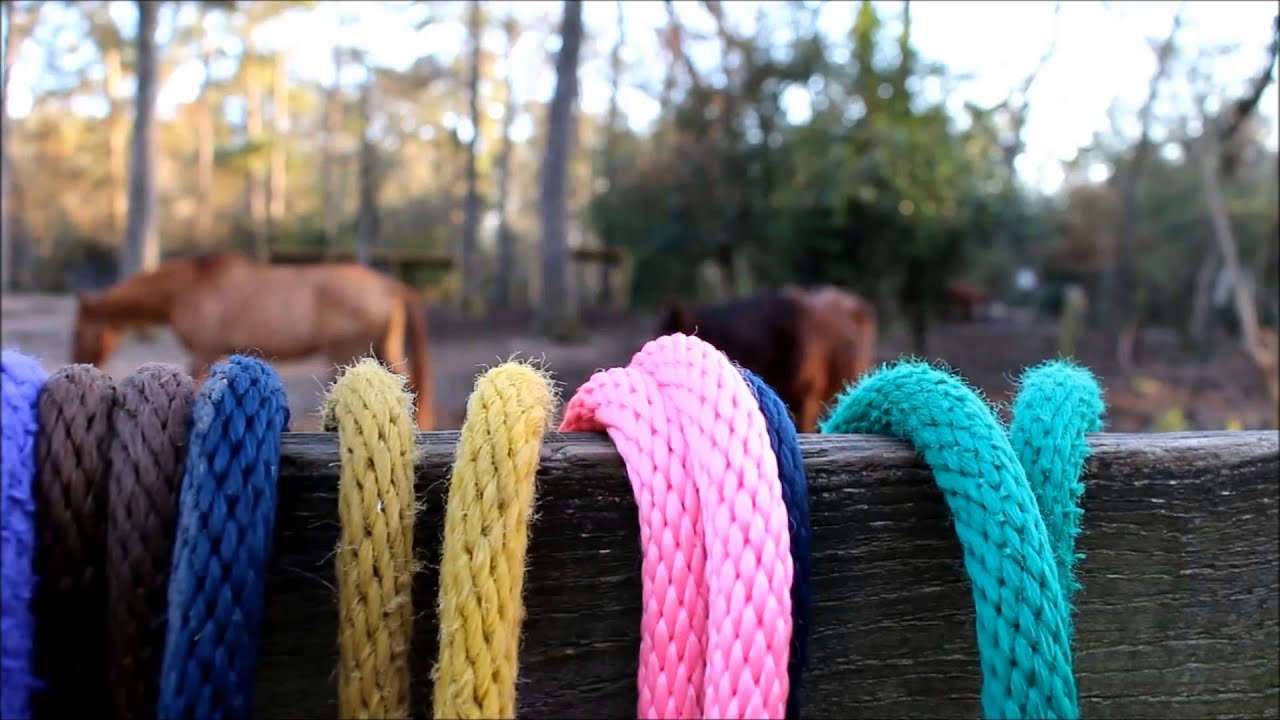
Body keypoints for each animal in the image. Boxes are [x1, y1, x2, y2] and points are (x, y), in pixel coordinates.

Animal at [71, 251, 435, 429]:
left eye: (79, 330)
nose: (79, 359)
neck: (190, 287)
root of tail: (387, 285)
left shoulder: (203, 353)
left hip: (349, 354)